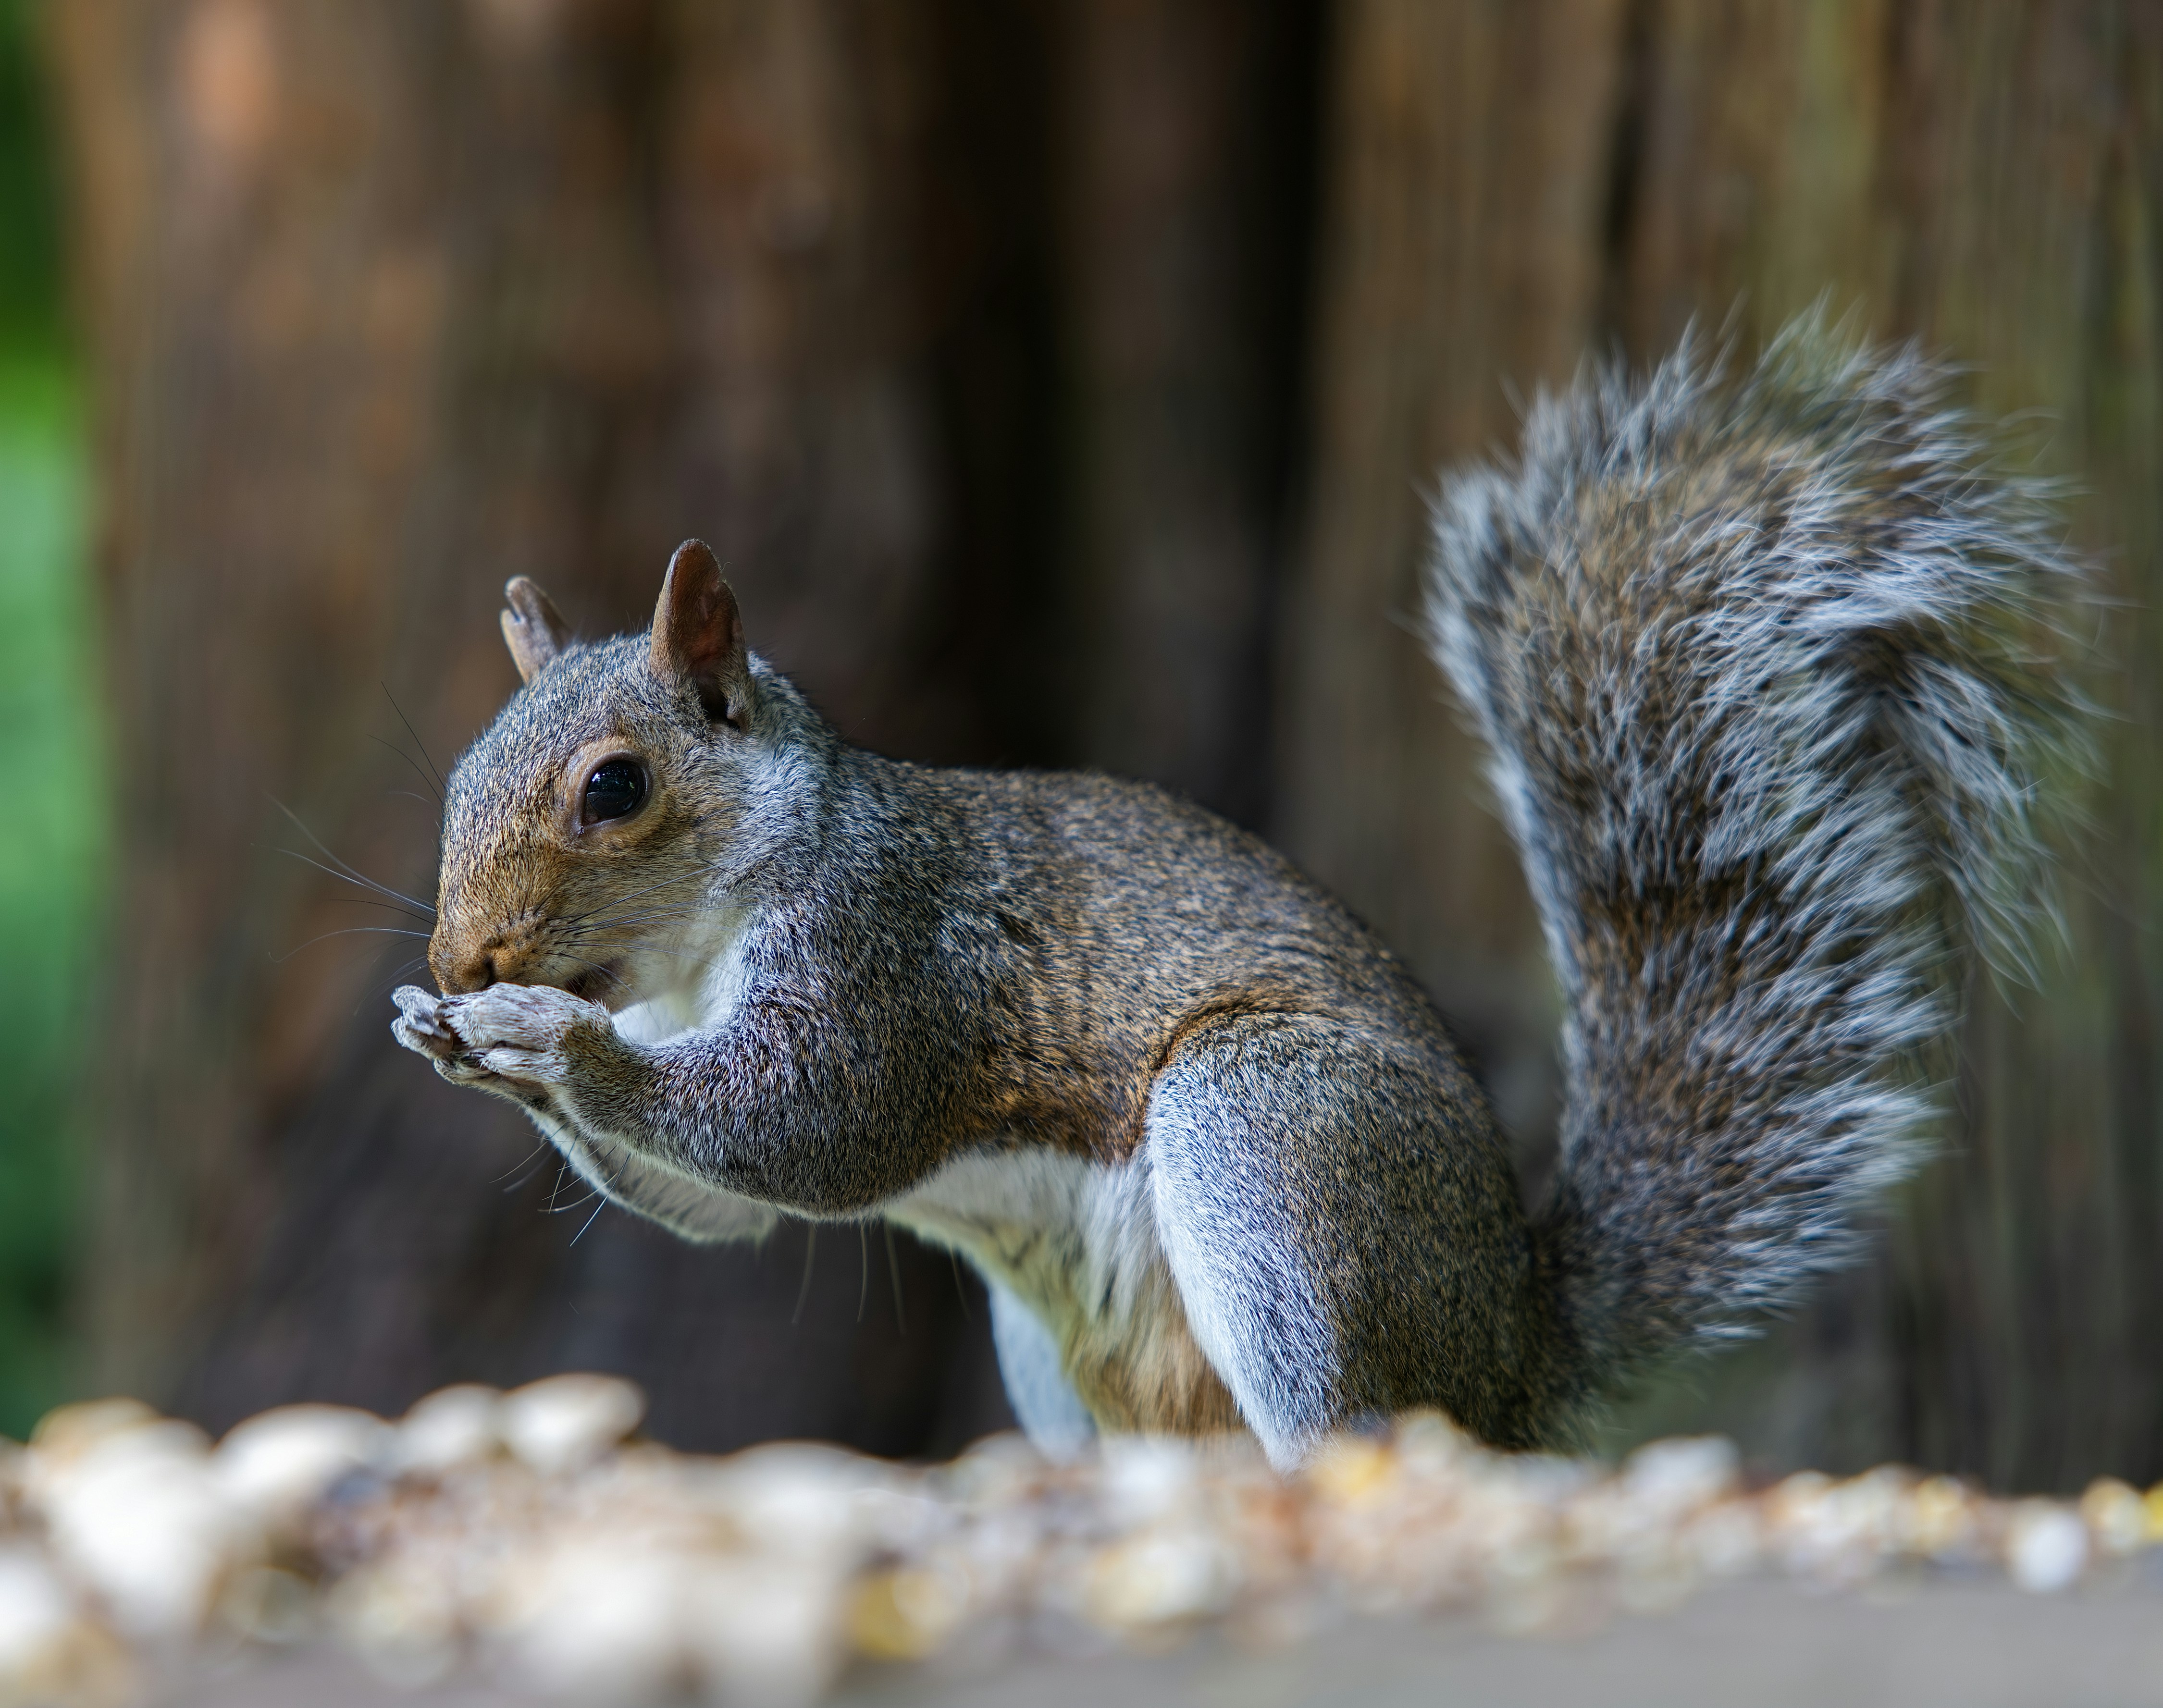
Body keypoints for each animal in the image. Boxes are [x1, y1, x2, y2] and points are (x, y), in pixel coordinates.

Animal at [392, 316, 2084, 1468]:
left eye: (615, 788)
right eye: (457, 775)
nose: (466, 958)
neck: (715, 925)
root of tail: (1513, 1356)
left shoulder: (894, 948)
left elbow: (810, 1125)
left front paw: (550, 1043)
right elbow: (721, 1205)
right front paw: (452, 1037)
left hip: (1275, 1135)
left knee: (1368, 1421)